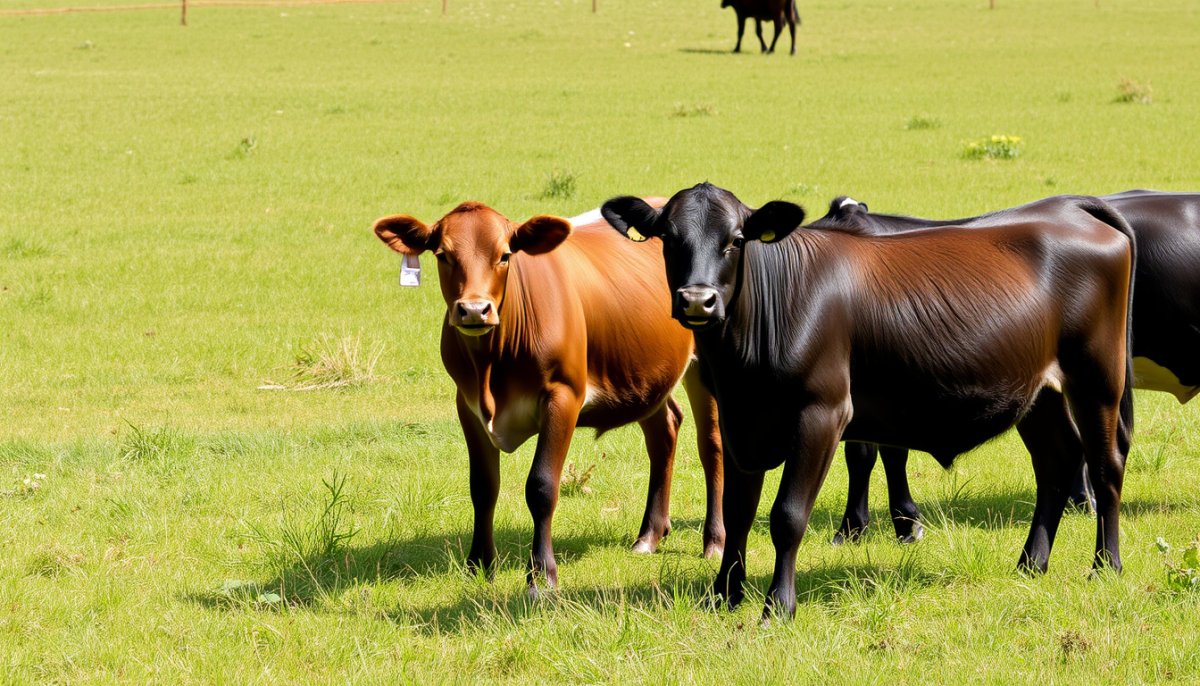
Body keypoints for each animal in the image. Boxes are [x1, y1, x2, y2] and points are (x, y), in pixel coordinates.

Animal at [372, 201, 725, 595]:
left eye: (505, 255)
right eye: (443, 255)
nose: (475, 309)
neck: (491, 367)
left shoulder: (564, 396)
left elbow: (541, 486)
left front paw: (541, 574)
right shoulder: (467, 404)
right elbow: (482, 486)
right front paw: (479, 565)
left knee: (711, 443)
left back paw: (713, 541)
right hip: (645, 373)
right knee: (664, 433)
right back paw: (649, 535)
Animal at [602, 183, 1134, 619]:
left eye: (735, 239)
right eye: (669, 238)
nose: (698, 300)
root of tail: (1069, 208)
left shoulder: (822, 414)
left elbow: (787, 516)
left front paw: (778, 606)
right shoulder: (739, 420)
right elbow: (738, 512)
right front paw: (724, 594)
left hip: (1097, 376)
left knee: (1104, 464)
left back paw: (1105, 564)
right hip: (1039, 394)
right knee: (1056, 463)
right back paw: (1031, 563)